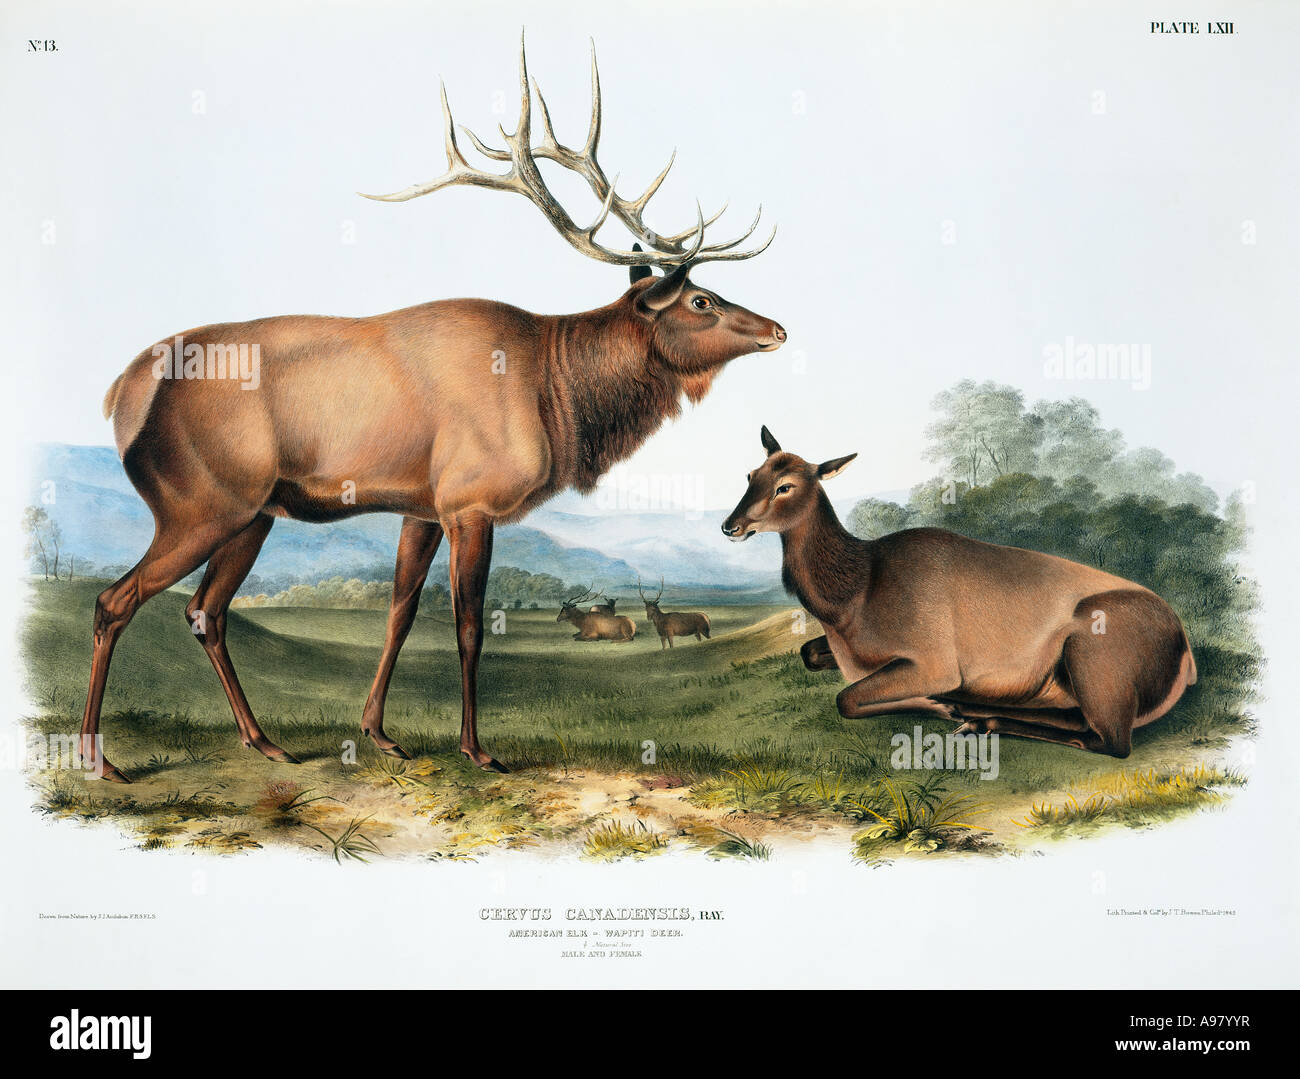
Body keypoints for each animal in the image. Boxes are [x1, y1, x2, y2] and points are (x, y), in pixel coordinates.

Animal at [81, 38, 784, 782]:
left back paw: (263, 739)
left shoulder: (421, 507)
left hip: (252, 513)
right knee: (115, 600)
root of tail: (123, 390)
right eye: (701, 299)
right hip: (200, 504)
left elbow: (400, 612)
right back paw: (99, 757)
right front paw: (476, 747)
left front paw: (379, 731)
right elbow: (469, 625)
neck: (559, 397)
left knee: (204, 611)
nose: (777, 329)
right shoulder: (470, 502)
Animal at [721, 428, 1198, 758]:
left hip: (1093, 655)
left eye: (786, 486)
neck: (852, 597)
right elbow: (808, 654)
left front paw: (934, 704)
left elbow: (846, 698)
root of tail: (1187, 656)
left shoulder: (934, 661)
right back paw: (978, 712)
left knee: (1111, 741)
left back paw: (974, 718)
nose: (730, 525)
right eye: (750, 474)